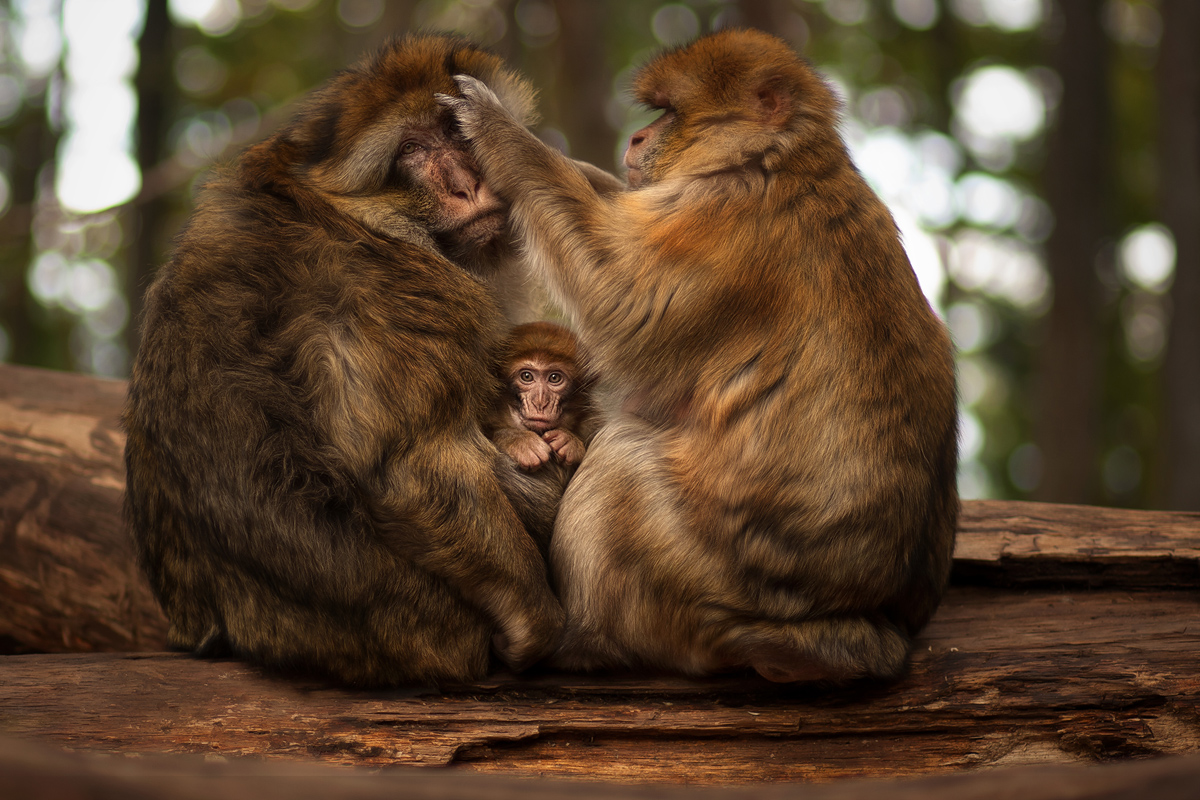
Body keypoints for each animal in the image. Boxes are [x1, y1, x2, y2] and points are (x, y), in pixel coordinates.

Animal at [122, 34, 567, 688]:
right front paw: (536, 620)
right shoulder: (390, 291)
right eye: (411, 149)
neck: (364, 219)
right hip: (427, 631)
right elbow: (408, 464)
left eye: (457, 132)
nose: (467, 186)